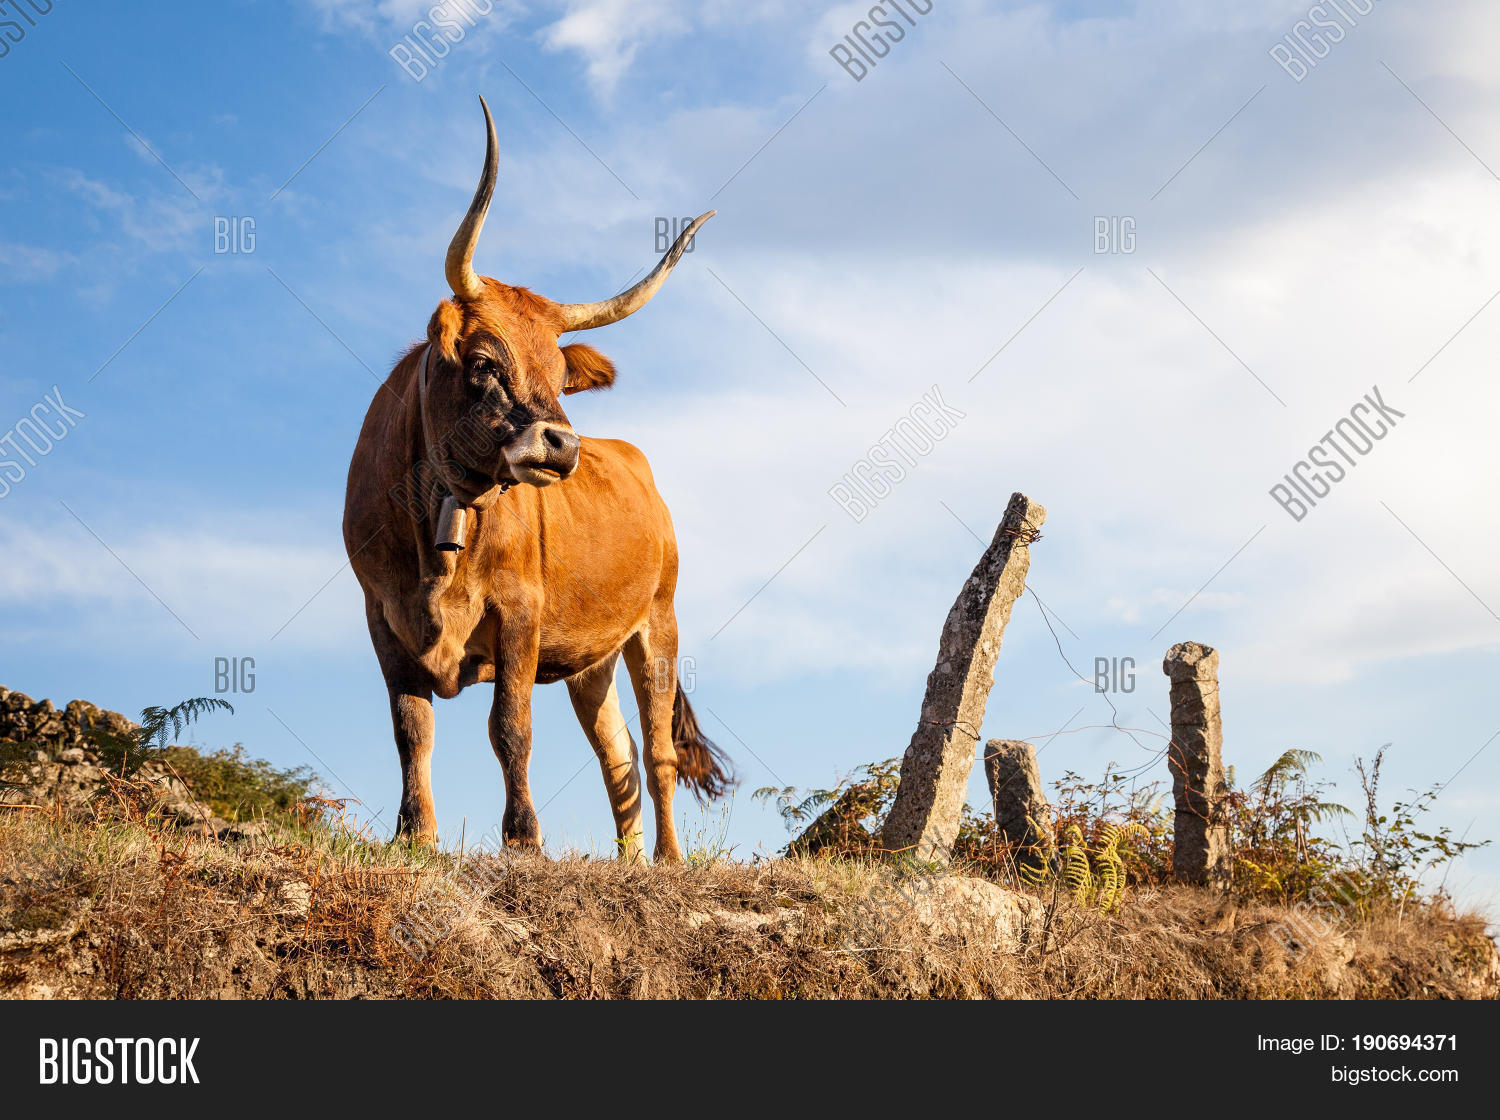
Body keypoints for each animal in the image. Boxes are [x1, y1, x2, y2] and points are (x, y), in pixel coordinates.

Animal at [342, 96, 730, 862]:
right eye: (485, 362)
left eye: (557, 376)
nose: (562, 444)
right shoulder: (380, 613)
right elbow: (411, 730)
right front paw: (415, 834)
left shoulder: (520, 611)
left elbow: (510, 727)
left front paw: (522, 838)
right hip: (591, 660)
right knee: (618, 758)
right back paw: (628, 862)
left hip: (658, 622)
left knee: (658, 752)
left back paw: (668, 858)